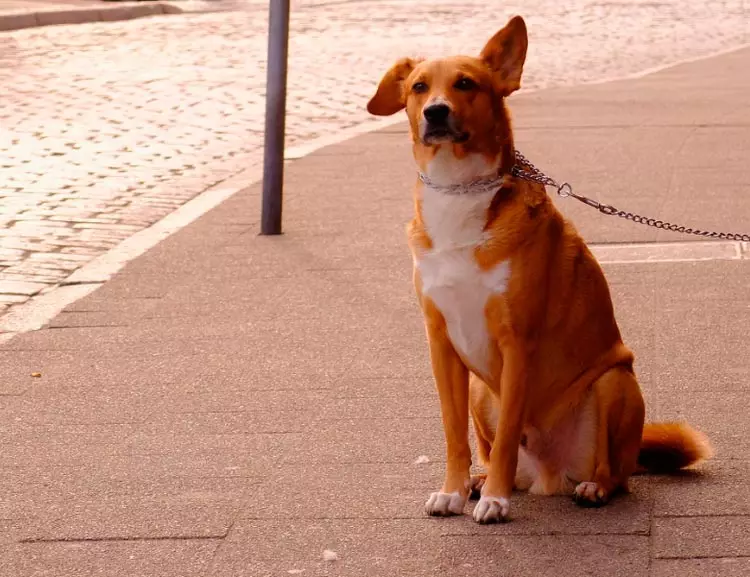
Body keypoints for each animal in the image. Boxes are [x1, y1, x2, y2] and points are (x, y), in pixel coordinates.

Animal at [368, 15, 712, 524]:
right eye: (418, 86)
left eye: (466, 84)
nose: (435, 112)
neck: (458, 192)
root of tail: (548, 475)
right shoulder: (441, 344)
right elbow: (453, 433)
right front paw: (454, 490)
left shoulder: (518, 343)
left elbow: (509, 434)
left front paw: (495, 500)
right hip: (481, 390)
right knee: (493, 450)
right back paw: (477, 482)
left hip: (615, 384)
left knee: (615, 472)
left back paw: (587, 487)